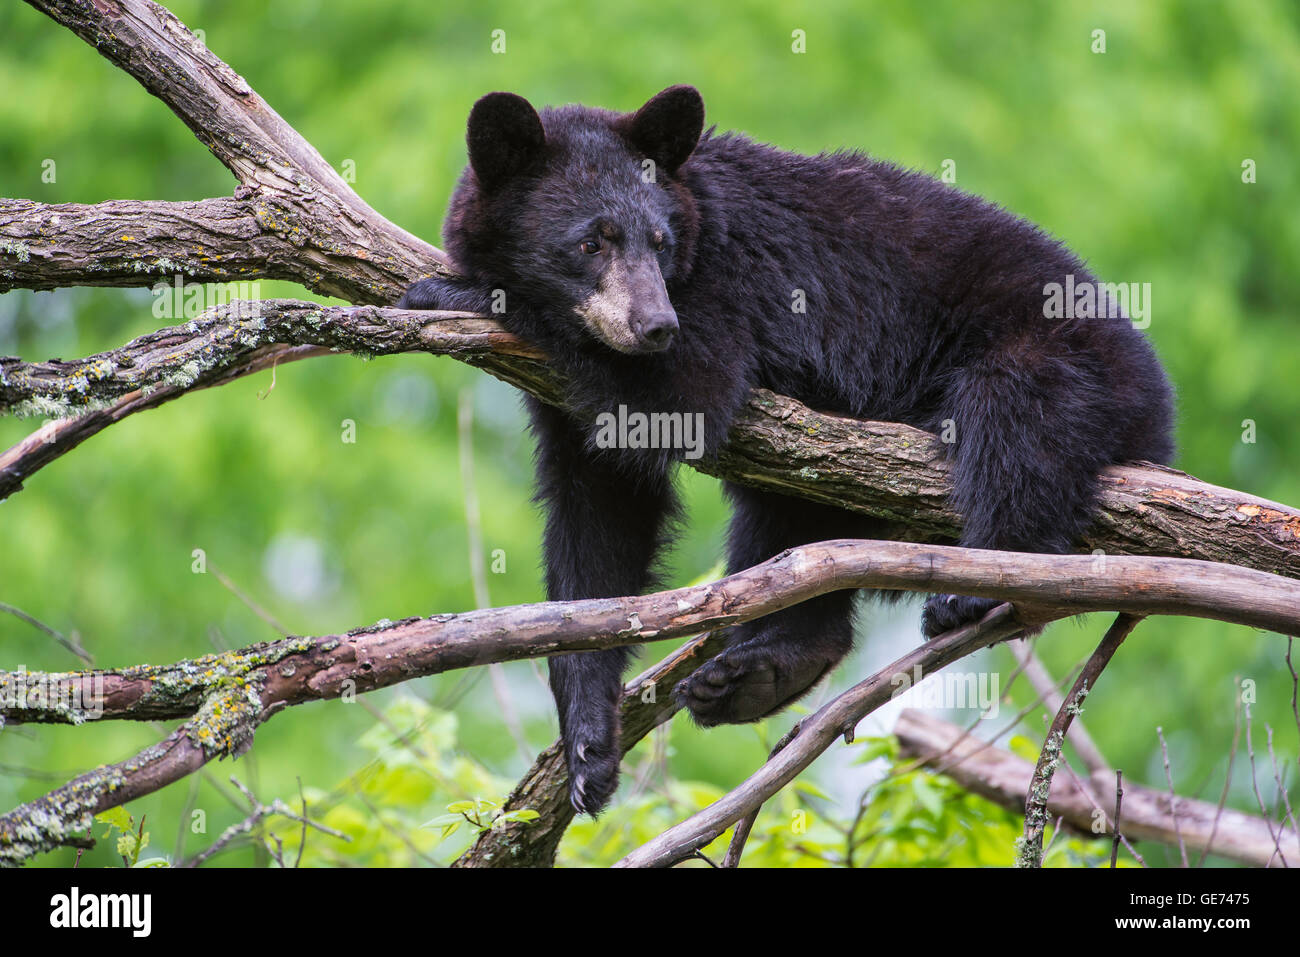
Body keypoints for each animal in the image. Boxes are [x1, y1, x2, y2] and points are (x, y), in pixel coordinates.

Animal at [399, 85, 1176, 816]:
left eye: (660, 240)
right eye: (593, 241)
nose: (655, 325)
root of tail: (1158, 405)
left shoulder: (721, 287)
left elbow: (682, 395)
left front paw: (454, 290)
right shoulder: (568, 407)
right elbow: (601, 515)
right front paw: (589, 745)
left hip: (1056, 356)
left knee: (1018, 436)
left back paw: (972, 589)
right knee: (792, 537)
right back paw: (759, 671)